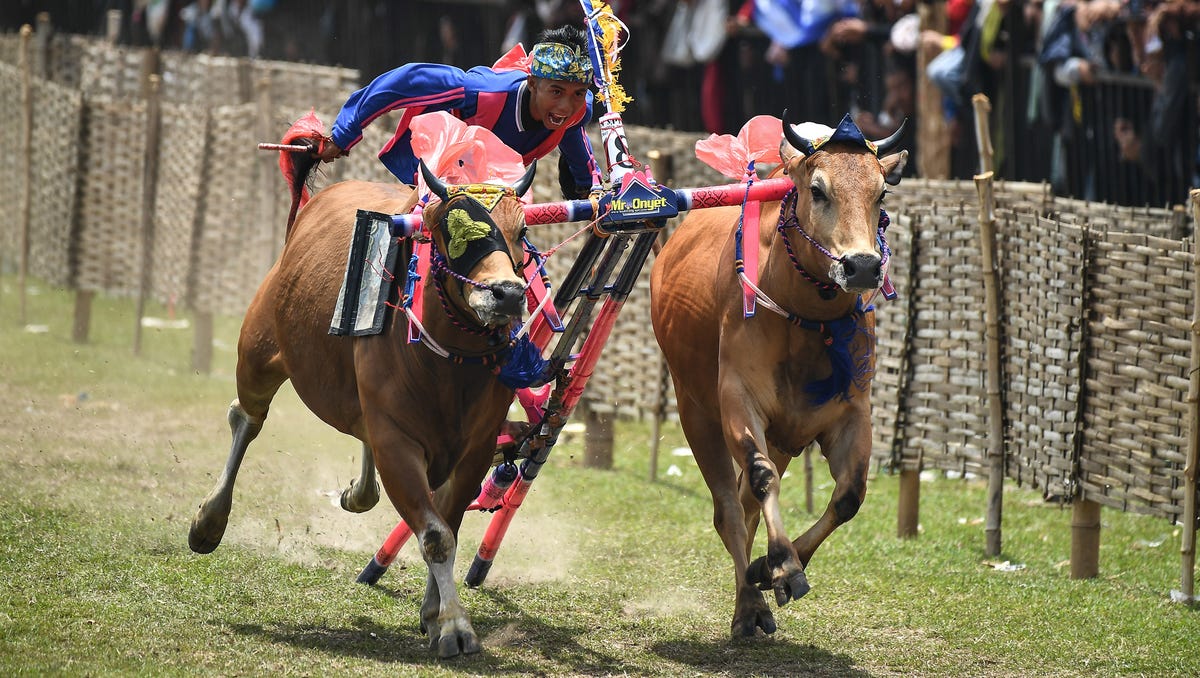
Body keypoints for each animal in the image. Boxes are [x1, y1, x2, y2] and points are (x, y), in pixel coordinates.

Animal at [187, 129, 537, 657]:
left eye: (520, 230)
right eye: (452, 230)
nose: (509, 293)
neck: (449, 366)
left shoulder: (475, 450)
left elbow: (449, 524)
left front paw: (434, 614)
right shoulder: (397, 441)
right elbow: (436, 535)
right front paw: (454, 625)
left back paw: (356, 493)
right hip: (258, 353)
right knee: (245, 418)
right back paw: (209, 520)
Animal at [649, 113, 907, 637]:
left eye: (881, 194)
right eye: (818, 189)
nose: (863, 266)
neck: (805, 318)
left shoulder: (850, 413)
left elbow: (850, 496)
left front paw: (773, 568)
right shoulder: (738, 401)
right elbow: (761, 478)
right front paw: (783, 567)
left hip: (785, 438)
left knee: (745, 507)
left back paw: (753, 592)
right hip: (694, 412)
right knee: (729, 508)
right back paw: (748, 606)